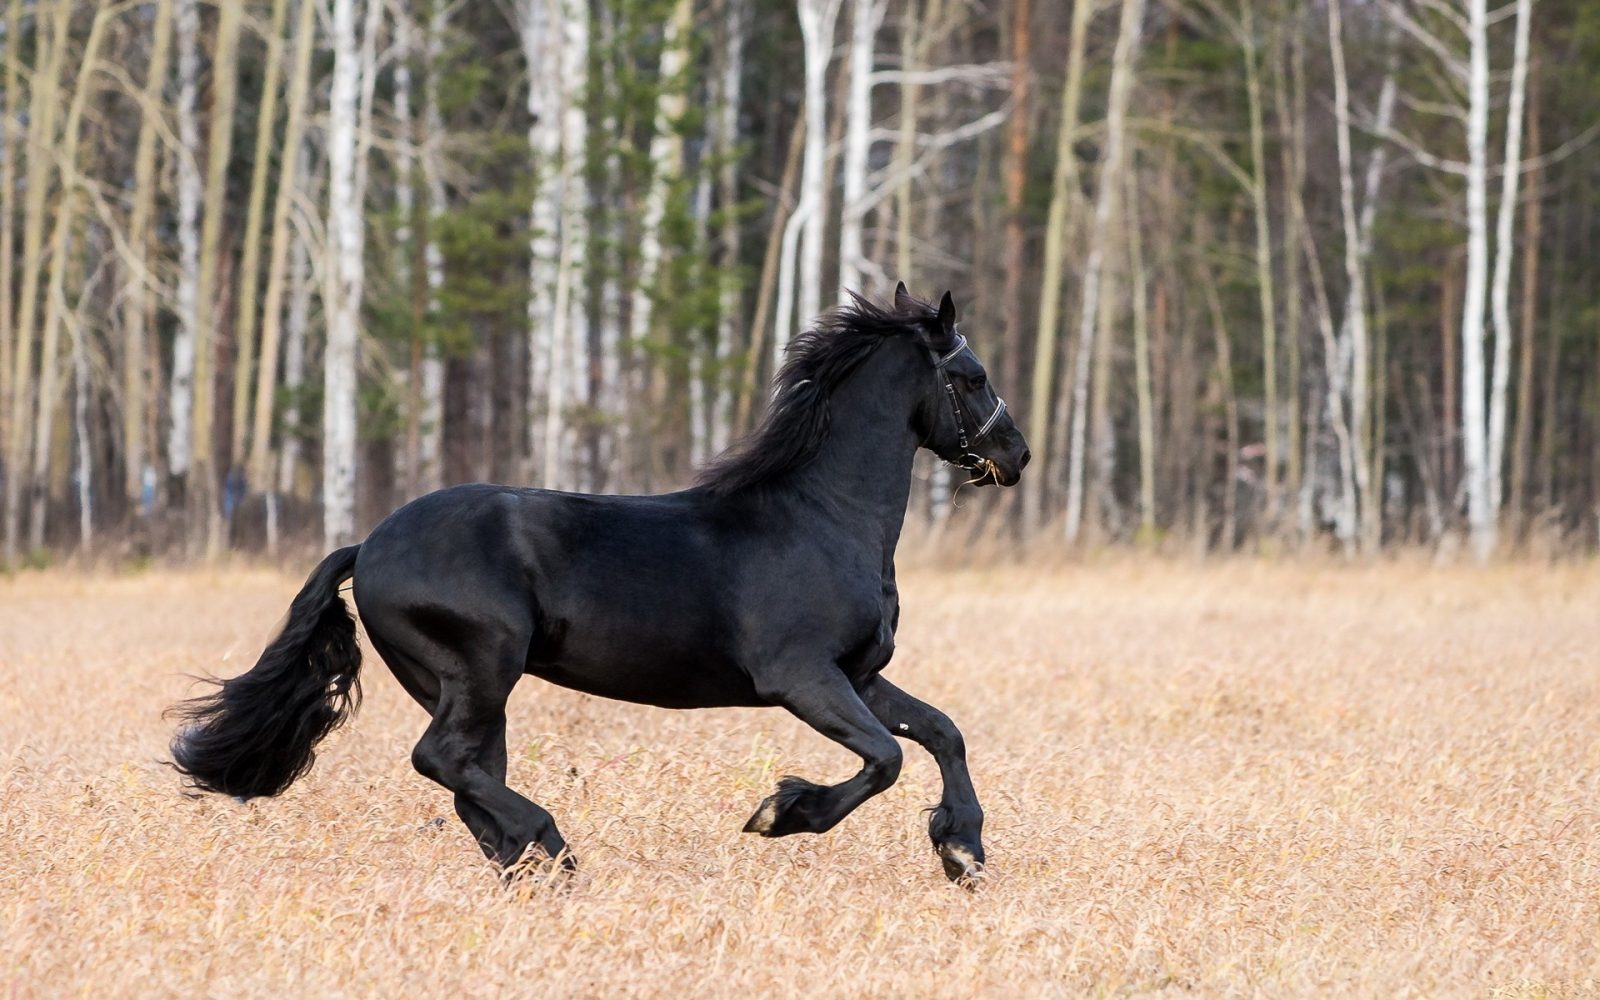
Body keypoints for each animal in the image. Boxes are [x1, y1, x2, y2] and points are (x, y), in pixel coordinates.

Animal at [172, 283, 1024, 883]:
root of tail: (369, 544)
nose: (1015, 454)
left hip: (457, 684)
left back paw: (532, 864)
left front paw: (962, 850)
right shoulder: (802, 677)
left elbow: (942, 732)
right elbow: (885, 758)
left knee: (468, 774)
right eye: (973, 375)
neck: (821, 518)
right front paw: (782, 813)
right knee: (442, 760)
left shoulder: (859, 675)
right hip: (479, 668)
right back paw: (551, 846)